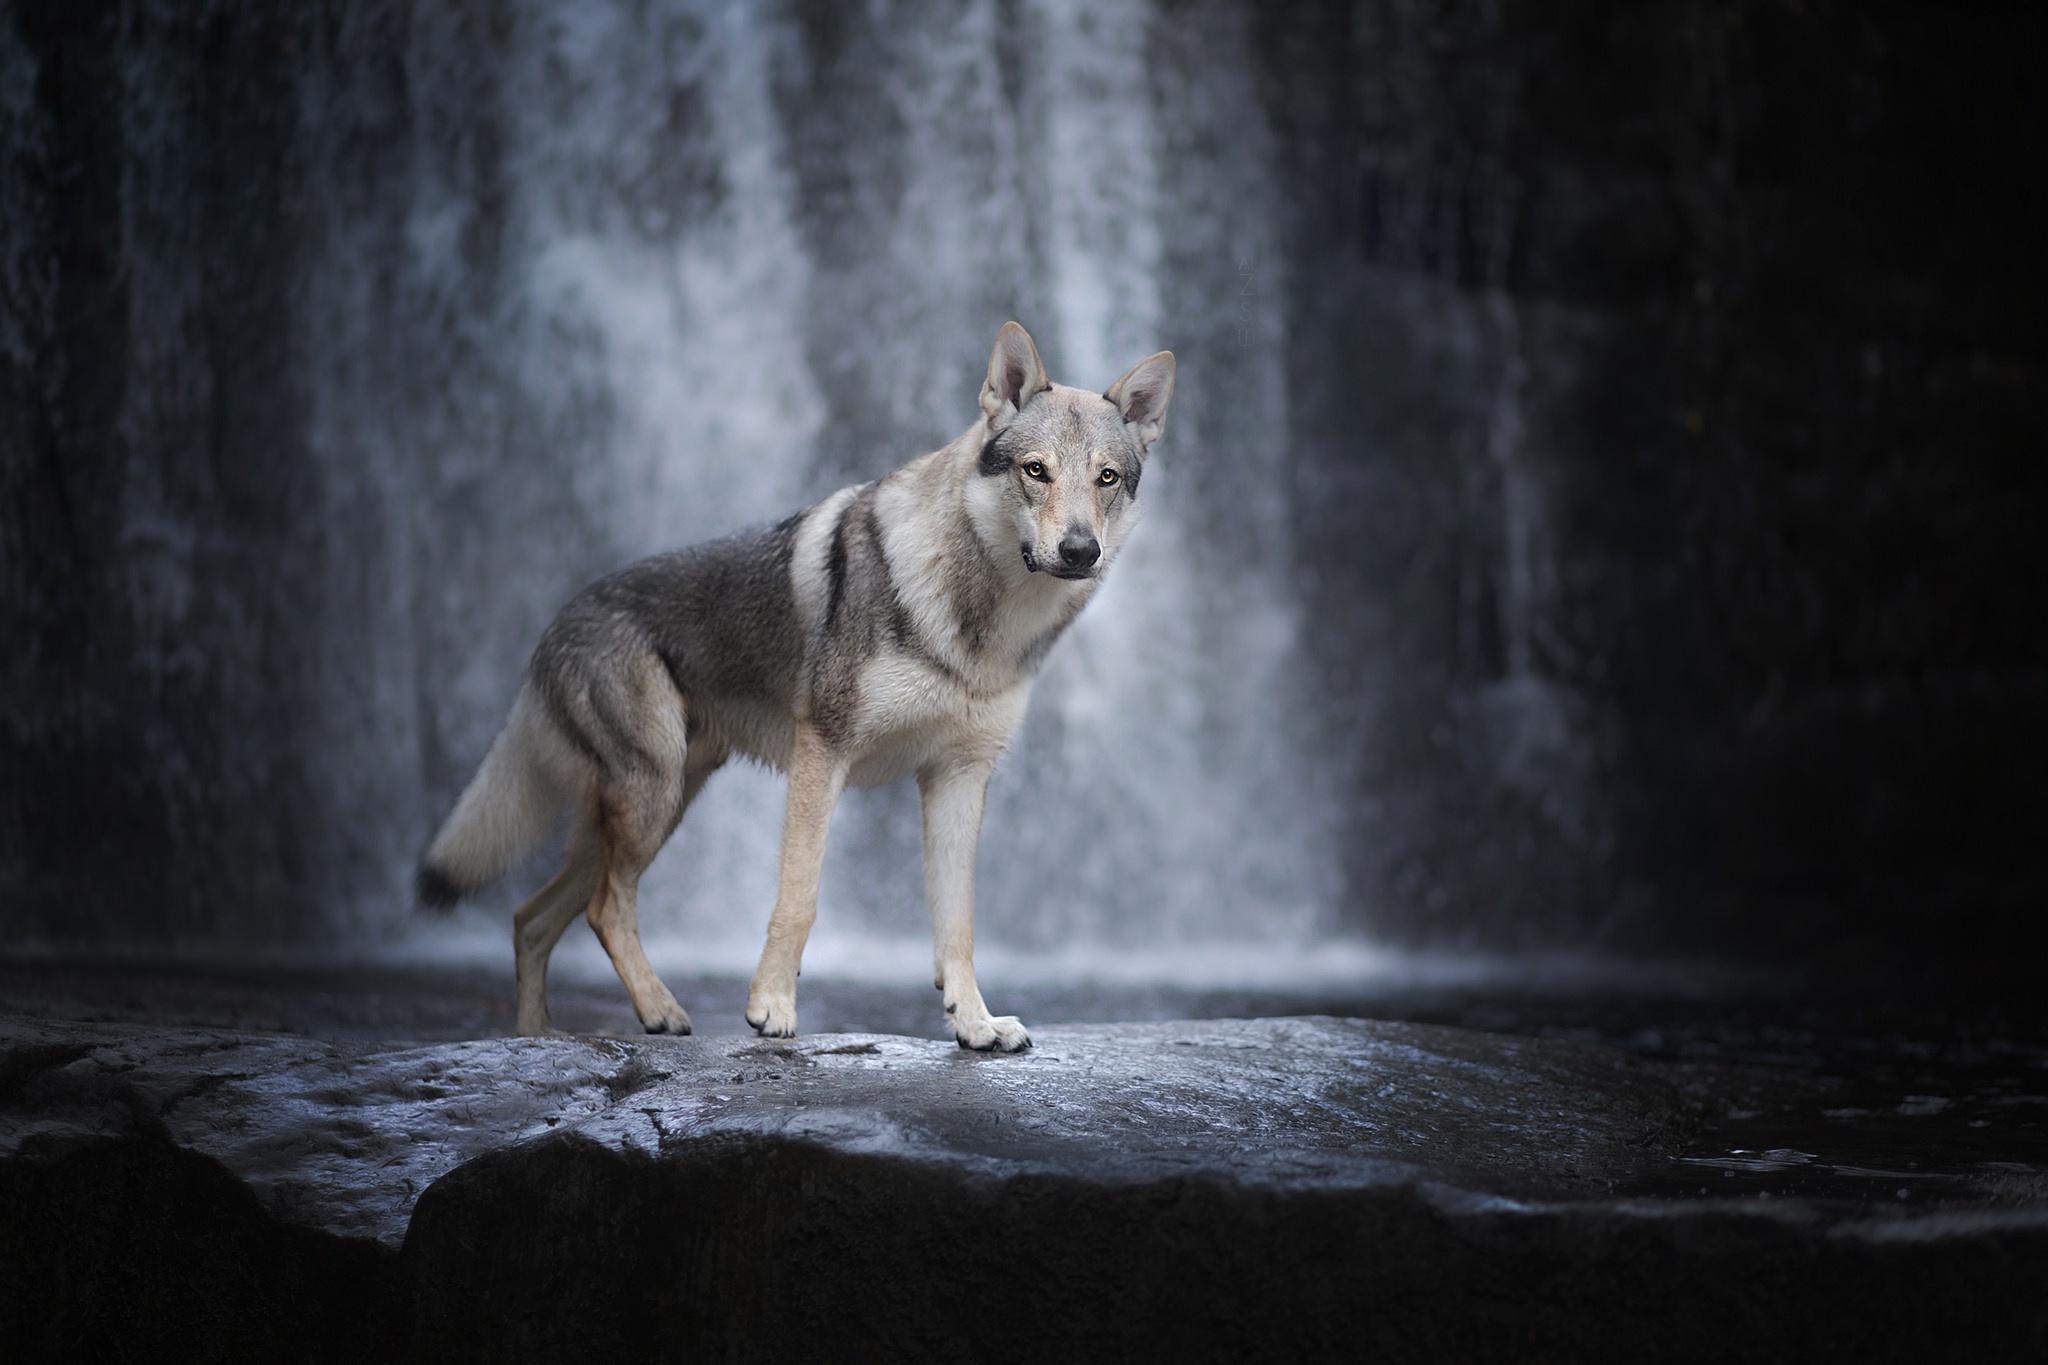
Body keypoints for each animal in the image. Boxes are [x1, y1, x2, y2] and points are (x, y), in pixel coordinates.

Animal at [416, 322, 1175, 1050]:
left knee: (531, 917)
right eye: (1035, 470)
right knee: (603, 907)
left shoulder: (959, 777)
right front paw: (772, 1009)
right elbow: (800, 896)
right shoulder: (823, 752)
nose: (1079, 550)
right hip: (651, 798)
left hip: (652, 806)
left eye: (1106, 477)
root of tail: (553, 628)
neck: (977, 624)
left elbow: (956, 924)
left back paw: (535, 1039)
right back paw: (659, 1012)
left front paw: (975, 1025)